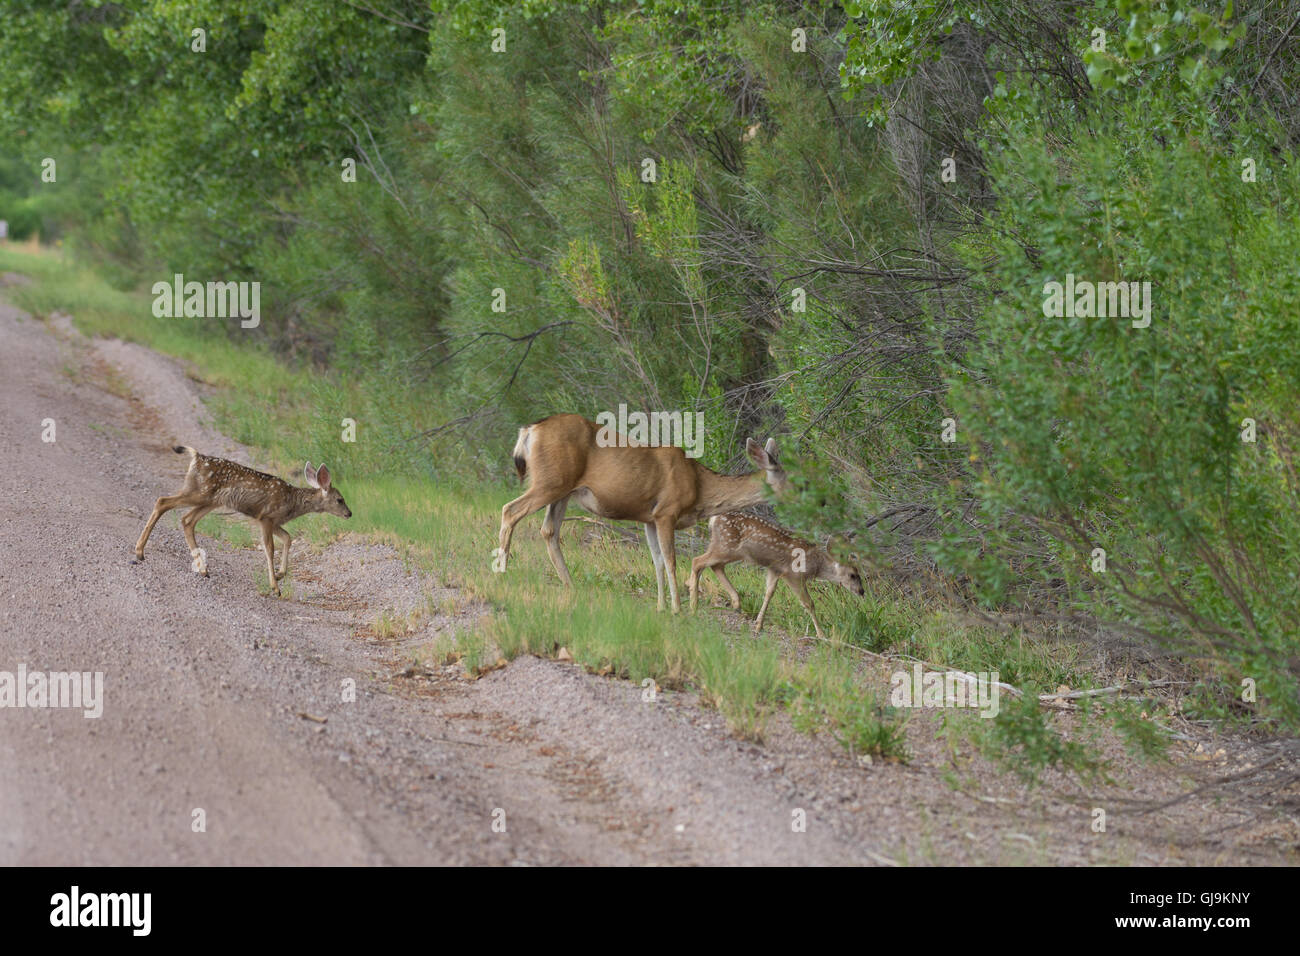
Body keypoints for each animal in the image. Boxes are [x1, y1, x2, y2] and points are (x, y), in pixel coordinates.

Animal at [132, 446, 352, 596]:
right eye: (340, 499)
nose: (350, 514)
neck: (292, 502)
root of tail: (196, 457)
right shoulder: (266, 517)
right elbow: (269, 548)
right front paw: (275, 587)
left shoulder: (274, 522)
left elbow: (288, 538)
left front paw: (280, 574)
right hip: (199, 492)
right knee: (163, 502)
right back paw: (140, 552)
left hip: (210, 500)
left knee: (187, 520)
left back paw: (203, 570)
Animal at [497, 413, 788, 612]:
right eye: (791, 479)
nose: (801, 499)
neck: (700, 486)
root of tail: (530, 429)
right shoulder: (667, 512)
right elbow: (671, 560)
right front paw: (677, 608)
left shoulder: (649, 518)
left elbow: (656, 560)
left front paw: (661, 607)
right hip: (550, 482)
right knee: (510, 510)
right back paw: (501, 571)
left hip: (563, 490)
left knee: (549, 530)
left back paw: (571, 585)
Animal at [688, 512, 864, 640]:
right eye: (853, 575)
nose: (862, 591)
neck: (815, 565)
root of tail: (713, 519)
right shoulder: (793, 575)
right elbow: (809, 603)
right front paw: (821, 635)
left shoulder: (774, 570)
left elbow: (769, 593)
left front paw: (758, 625)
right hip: (726, 546)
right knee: (698, 561)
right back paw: (693, 605)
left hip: (728, 550)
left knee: (714, 565)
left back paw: (735, 601)